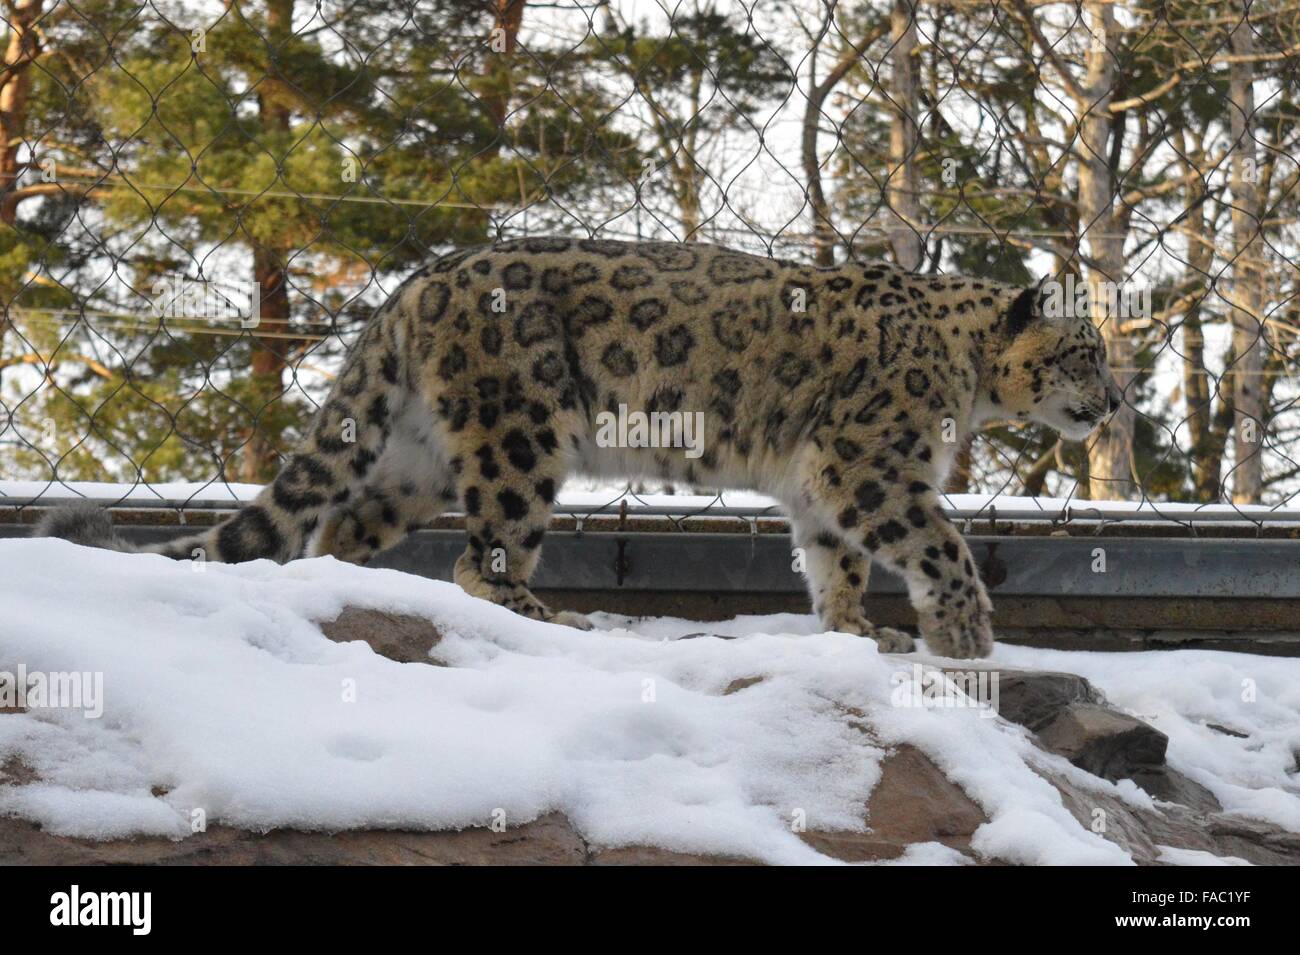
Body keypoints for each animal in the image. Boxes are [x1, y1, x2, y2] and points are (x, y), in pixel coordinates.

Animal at [38, 238, 1121, 659]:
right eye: (1085, 349)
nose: (1113, 402)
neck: (965, 385)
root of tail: (419, 281)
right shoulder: (870, 460)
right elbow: (939, 541)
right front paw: (965, 634)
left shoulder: (826, 484)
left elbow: (836, 560)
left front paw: (859, 631)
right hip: (522, 431)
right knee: (484, 555)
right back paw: (550, 612)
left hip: (415, 457)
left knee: (344, 528)